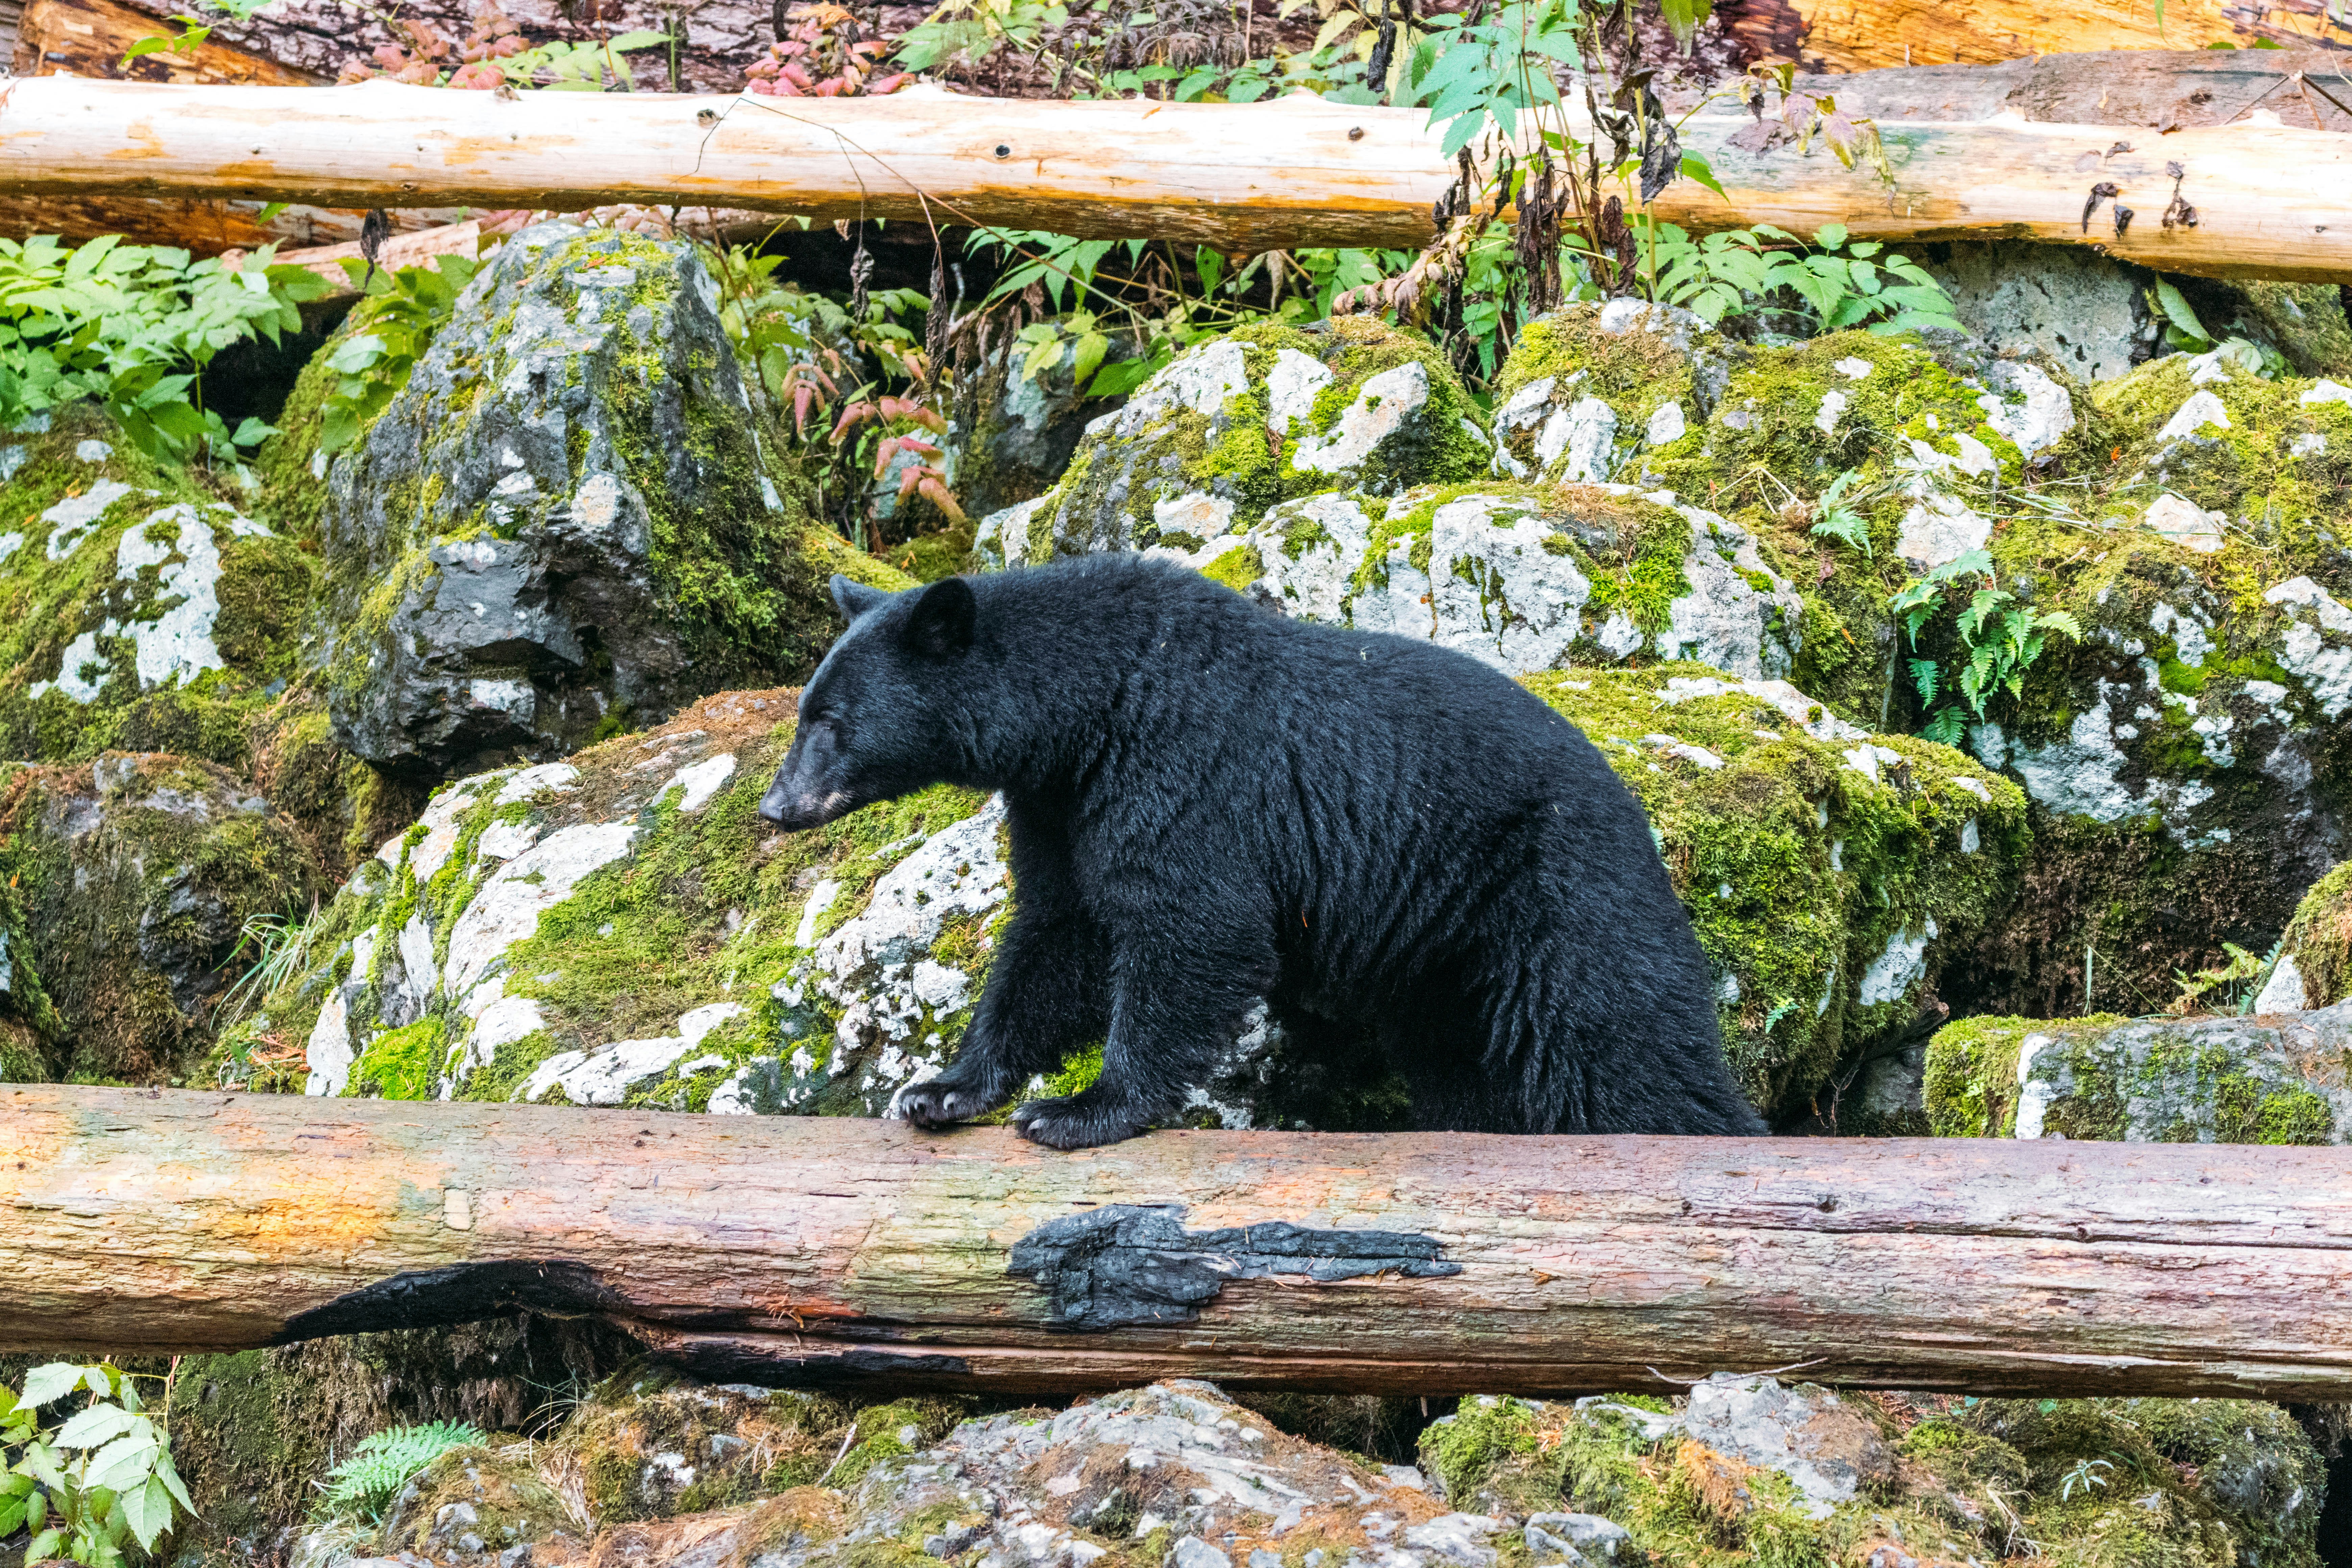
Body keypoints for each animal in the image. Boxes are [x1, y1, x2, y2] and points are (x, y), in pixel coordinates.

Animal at [758, 554, 1765, 1148]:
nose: (774, 805)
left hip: (1555, 888)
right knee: (1466, 1064)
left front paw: (1082, 1108)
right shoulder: (1059, 806)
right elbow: (1057, 934)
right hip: (1443, 956)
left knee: (1620, 1038)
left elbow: (1191, 930)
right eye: (806, 709)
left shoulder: (1189, 773)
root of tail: (1630, 804)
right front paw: (947, 1088)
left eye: (832, 722)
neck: (1090, 711)